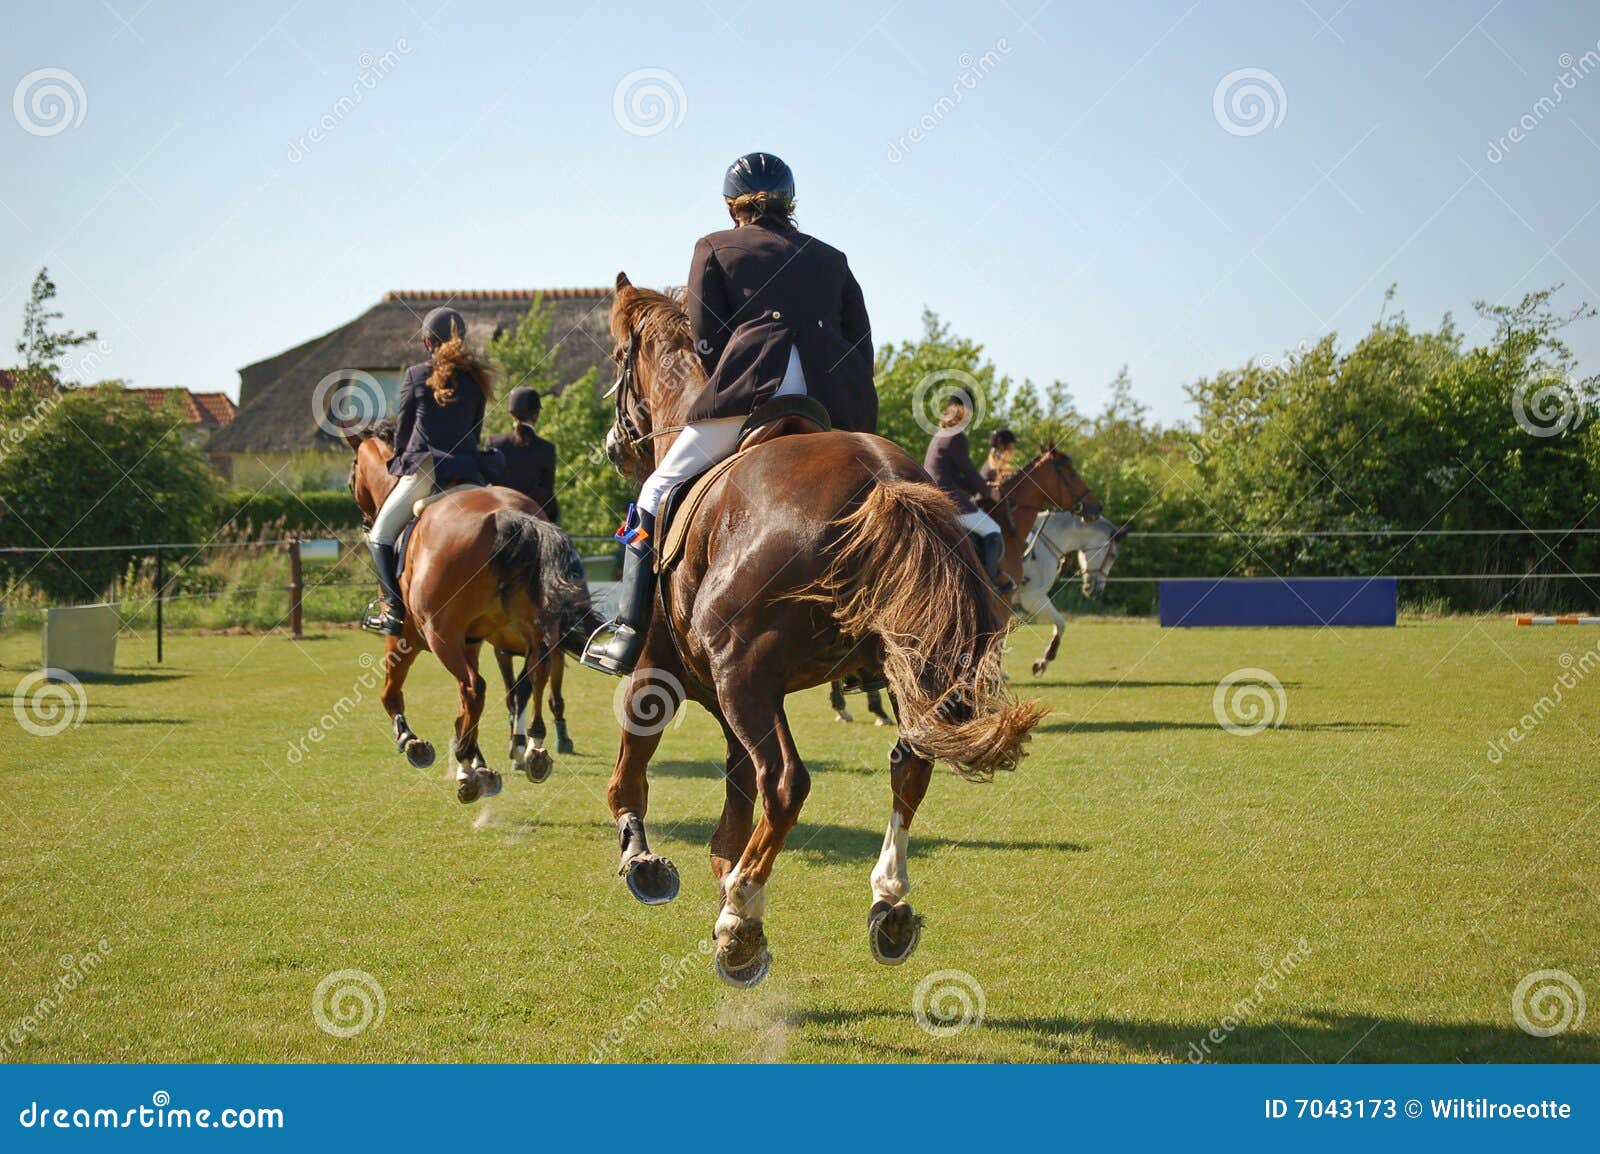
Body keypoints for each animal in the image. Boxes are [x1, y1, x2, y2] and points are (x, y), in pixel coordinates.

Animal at [345, 419, 594, 800]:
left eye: (353, 471)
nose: (364, 521)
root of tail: (508, 515)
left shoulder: (406, 637)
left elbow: (390, 692)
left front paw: (412, 741)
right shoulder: (473, 642)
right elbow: (468, 705)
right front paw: (480, 759)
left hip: (440, 636)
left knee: (477, 688)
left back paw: (467, 768)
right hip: (536, 632)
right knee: (534, 675)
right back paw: (534, 749)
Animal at [601, 272, 1045, 987]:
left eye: (618, 358)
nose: (617, 447)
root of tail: (882, 482)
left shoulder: (665, 671)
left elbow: (632, 772)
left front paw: (643, 861)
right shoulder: (728, 697)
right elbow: (733, 805)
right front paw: (723, 872)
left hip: (746, 676)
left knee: (787, 782)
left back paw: (742, 925)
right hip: (898, 665)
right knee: (908, 764)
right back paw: (887, 903)